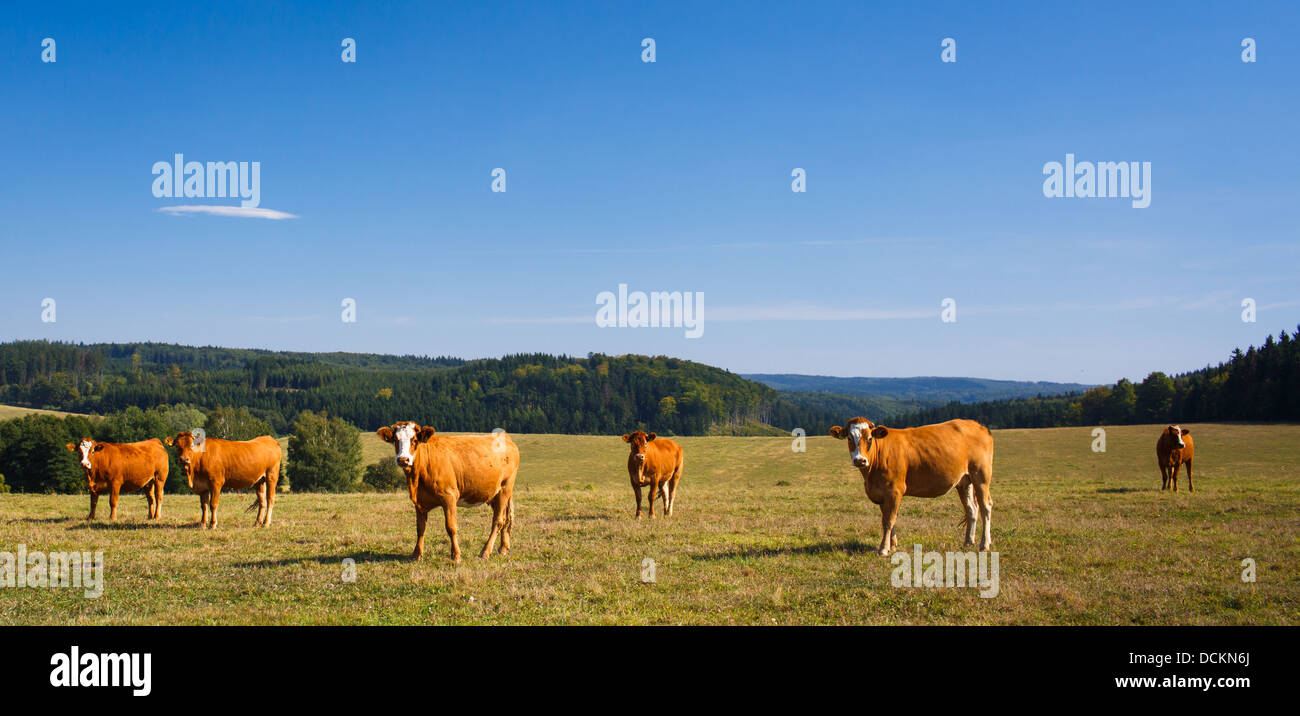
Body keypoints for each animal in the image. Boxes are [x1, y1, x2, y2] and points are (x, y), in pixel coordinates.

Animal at [376, 422, 520, 563]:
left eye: (415, 440)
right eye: (395, 440)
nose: (403, 459)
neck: (417, 480)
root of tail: (504, 436)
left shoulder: (449, 497)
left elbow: (451, 527)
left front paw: (456, 555)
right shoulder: (419, 502)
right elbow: (420, 528)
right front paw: (416, 554)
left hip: (505, 488)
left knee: (498, 521)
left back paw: (485, 552)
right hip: (493, 494)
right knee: (506, 518)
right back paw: (503, 548)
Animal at [830, 417, 994, 556]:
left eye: (870, 439)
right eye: (849, 438)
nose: (860, 460)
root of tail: (977, 425)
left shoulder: (894, 491)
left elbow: (888, 520)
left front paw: (883, 549)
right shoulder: (882, 494)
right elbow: (889, 519)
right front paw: (893, 546)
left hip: (981, 475)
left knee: (985, 507)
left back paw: (984, 544)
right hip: (964, 481)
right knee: (971, 509)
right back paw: (967, 543)